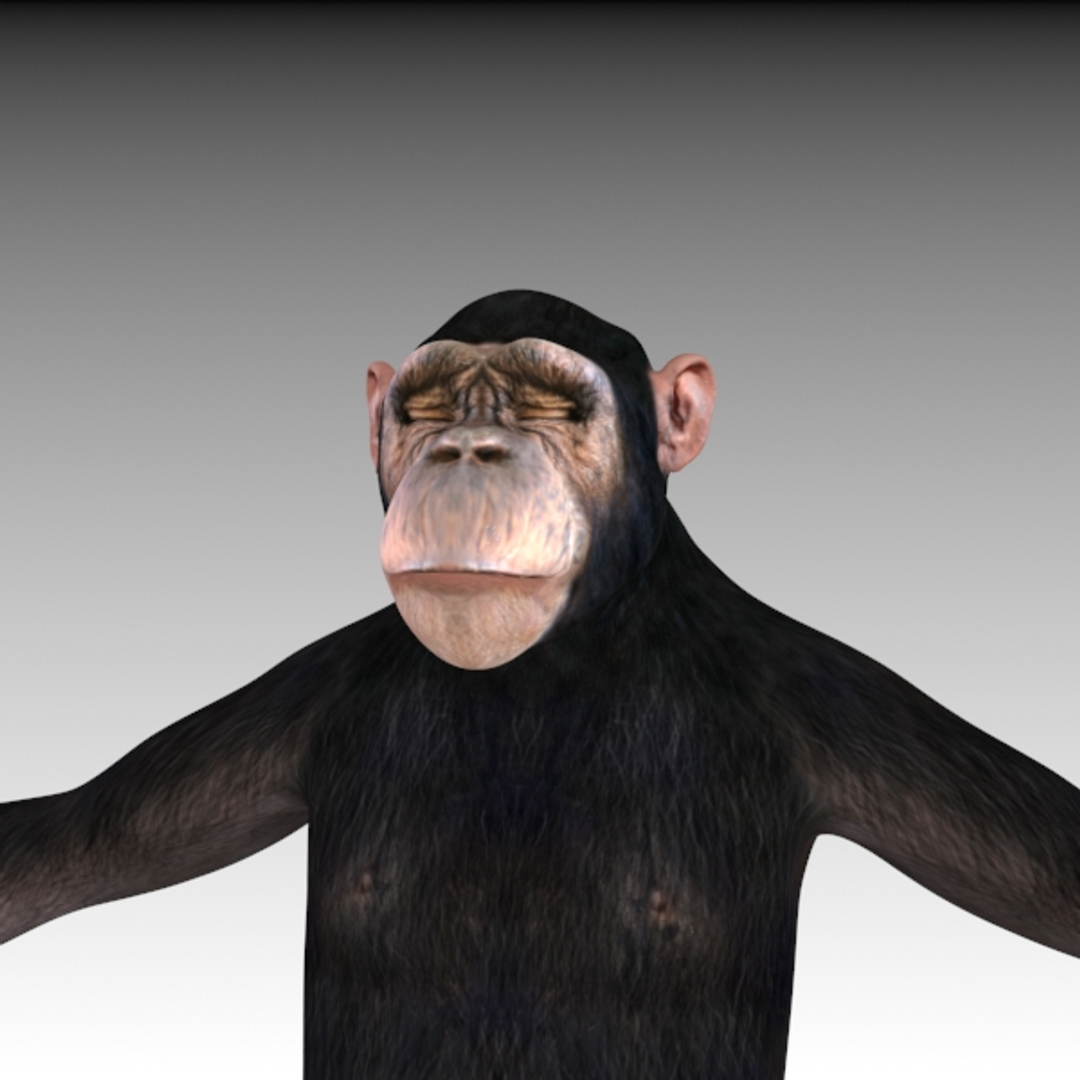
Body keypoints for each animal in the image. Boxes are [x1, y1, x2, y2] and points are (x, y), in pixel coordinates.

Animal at [1, 290, 1078, 1079]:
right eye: (428, 406)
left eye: (545, 402)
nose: (466, 449)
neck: (544, 675)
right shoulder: (295, 701)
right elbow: (77, 836)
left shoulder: (829, 700)